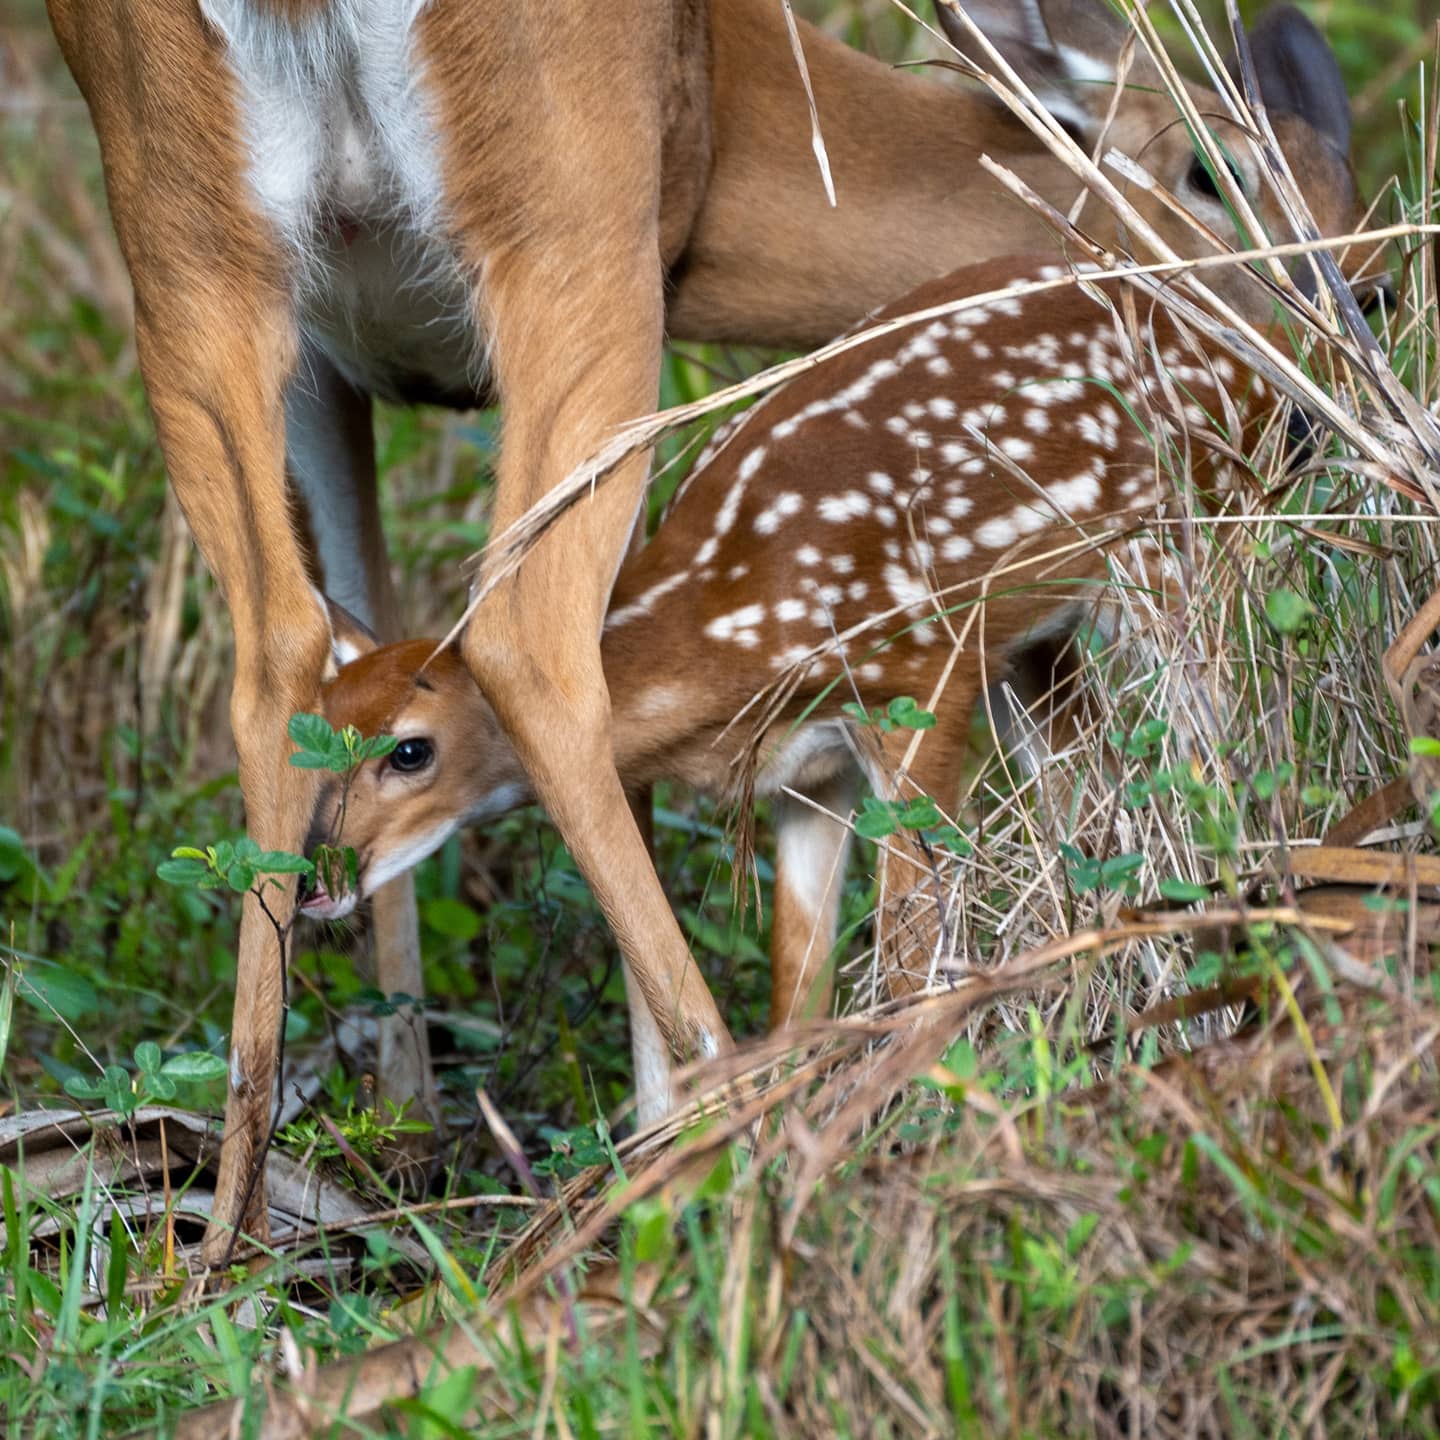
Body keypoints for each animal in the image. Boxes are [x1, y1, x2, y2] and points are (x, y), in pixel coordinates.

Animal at [43, 0, 1362, 1258]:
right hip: (572, 226)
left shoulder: (331, 356)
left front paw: (407, 1115)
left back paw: (230, 1236)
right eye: (1215, 170)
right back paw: (719, 1141)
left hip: (186, 249)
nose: (1362, 313)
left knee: (274, 653)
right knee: (530, 642)